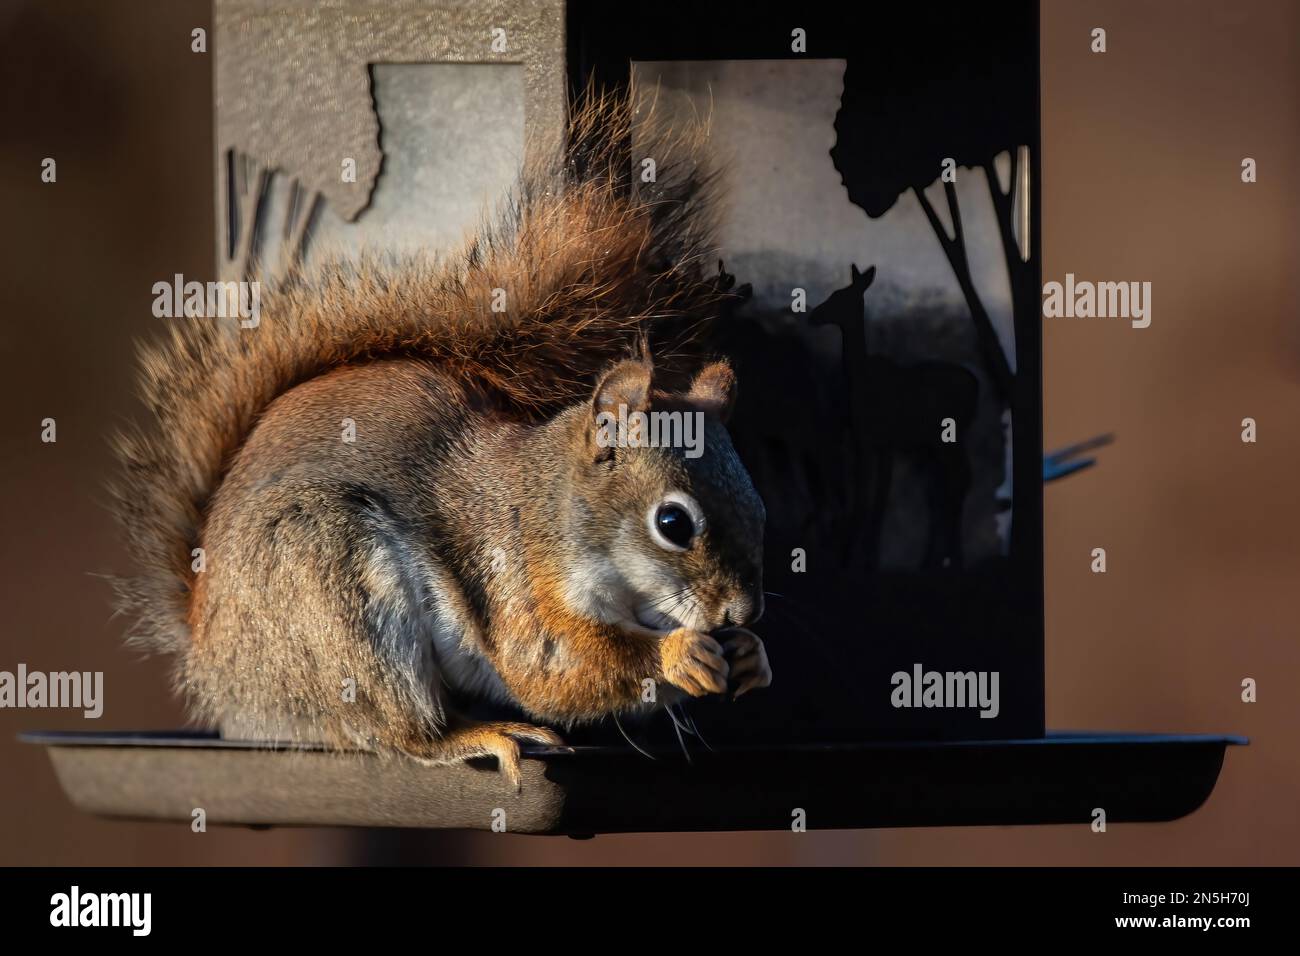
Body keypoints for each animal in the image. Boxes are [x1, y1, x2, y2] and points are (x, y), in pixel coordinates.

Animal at [107, 90, 771, 786]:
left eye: (759, 509)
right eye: (673, 523)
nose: (741, 614)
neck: (551, 513)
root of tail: (216, 659)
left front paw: (752, 655)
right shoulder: (522, 590)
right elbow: (553, 670)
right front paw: (679, 654)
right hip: (336, 593)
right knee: (404, 733)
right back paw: (484, 733)